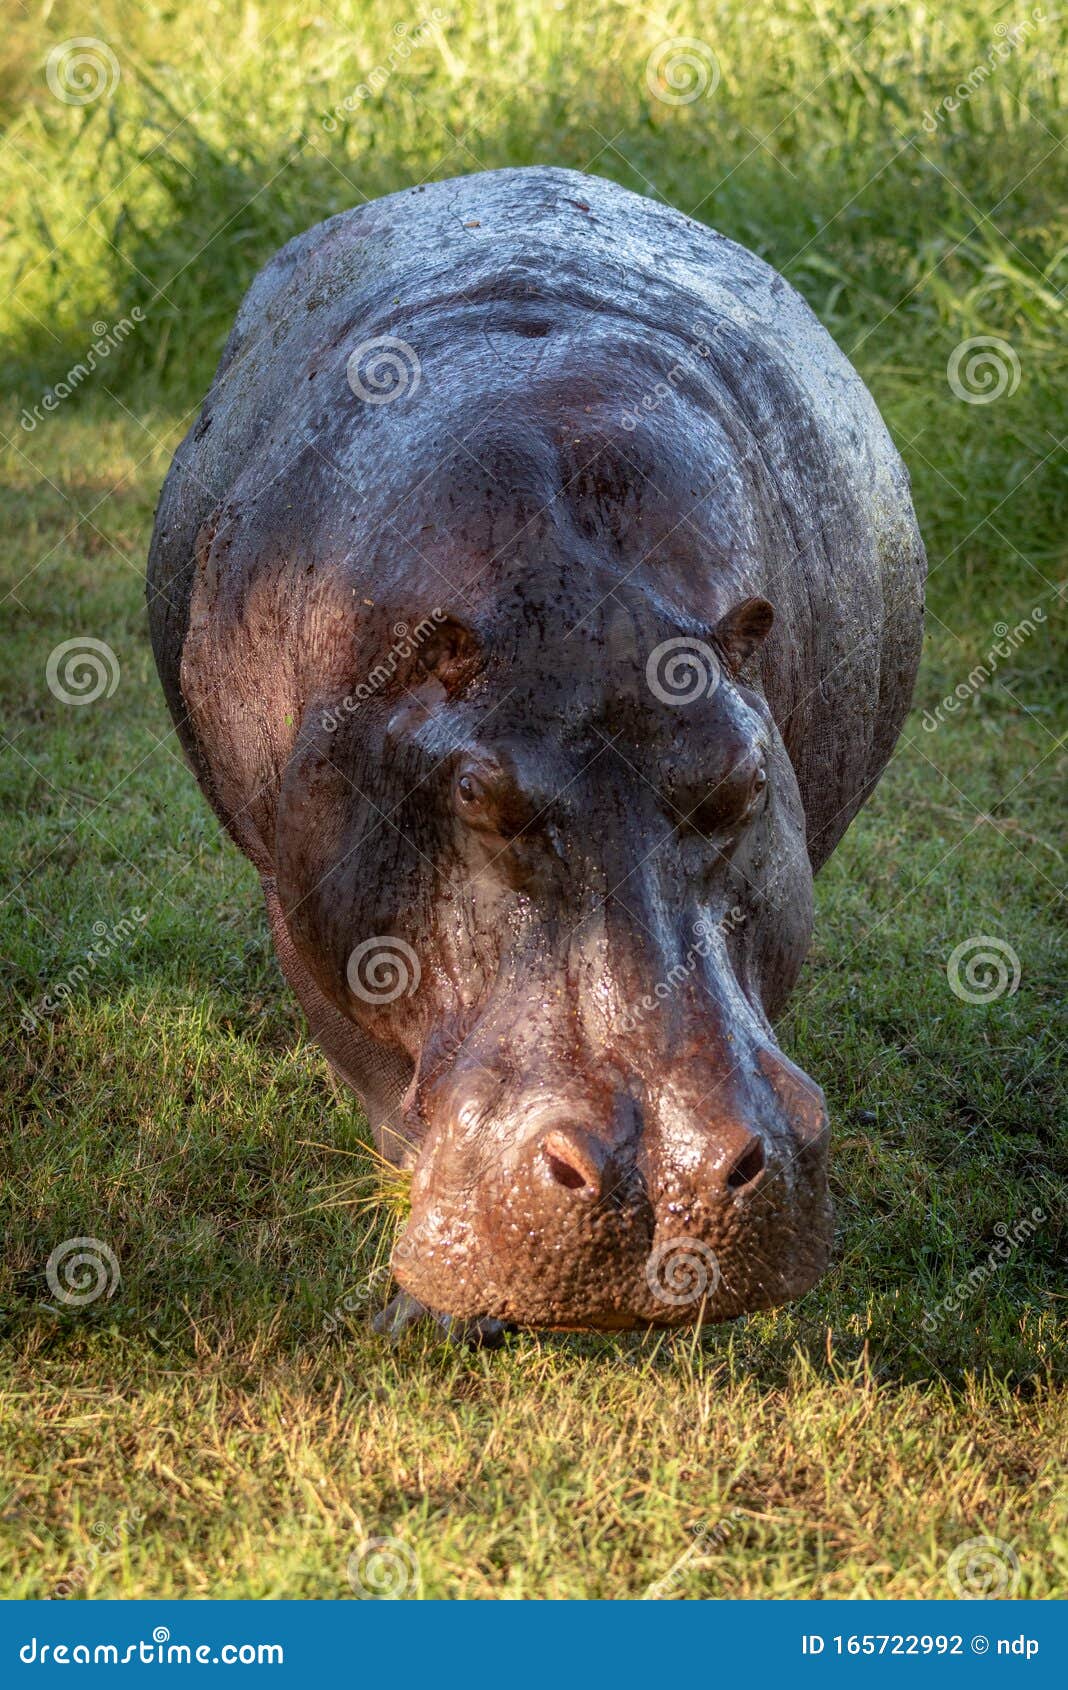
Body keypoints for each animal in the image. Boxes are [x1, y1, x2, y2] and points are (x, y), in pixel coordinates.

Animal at [147, 166, 925, 1337]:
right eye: (477, 792)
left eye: (746, 780)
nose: (668, 1182)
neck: (574, 582)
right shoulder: (308, 920)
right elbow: (388, 1103)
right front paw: (428, 1317)